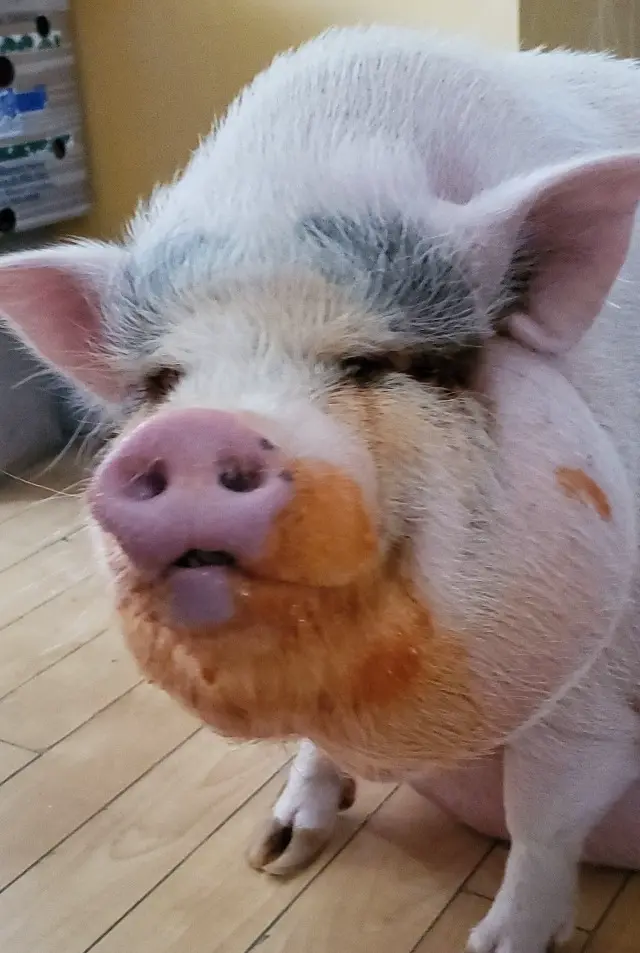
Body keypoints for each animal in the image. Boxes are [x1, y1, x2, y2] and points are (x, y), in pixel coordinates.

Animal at [1, 23, 640, 953]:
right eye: (164, 382)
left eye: (368, 363)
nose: (198, 429)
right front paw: (272, 857)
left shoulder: (595, 687)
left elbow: (542, 818)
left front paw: (497, 943)